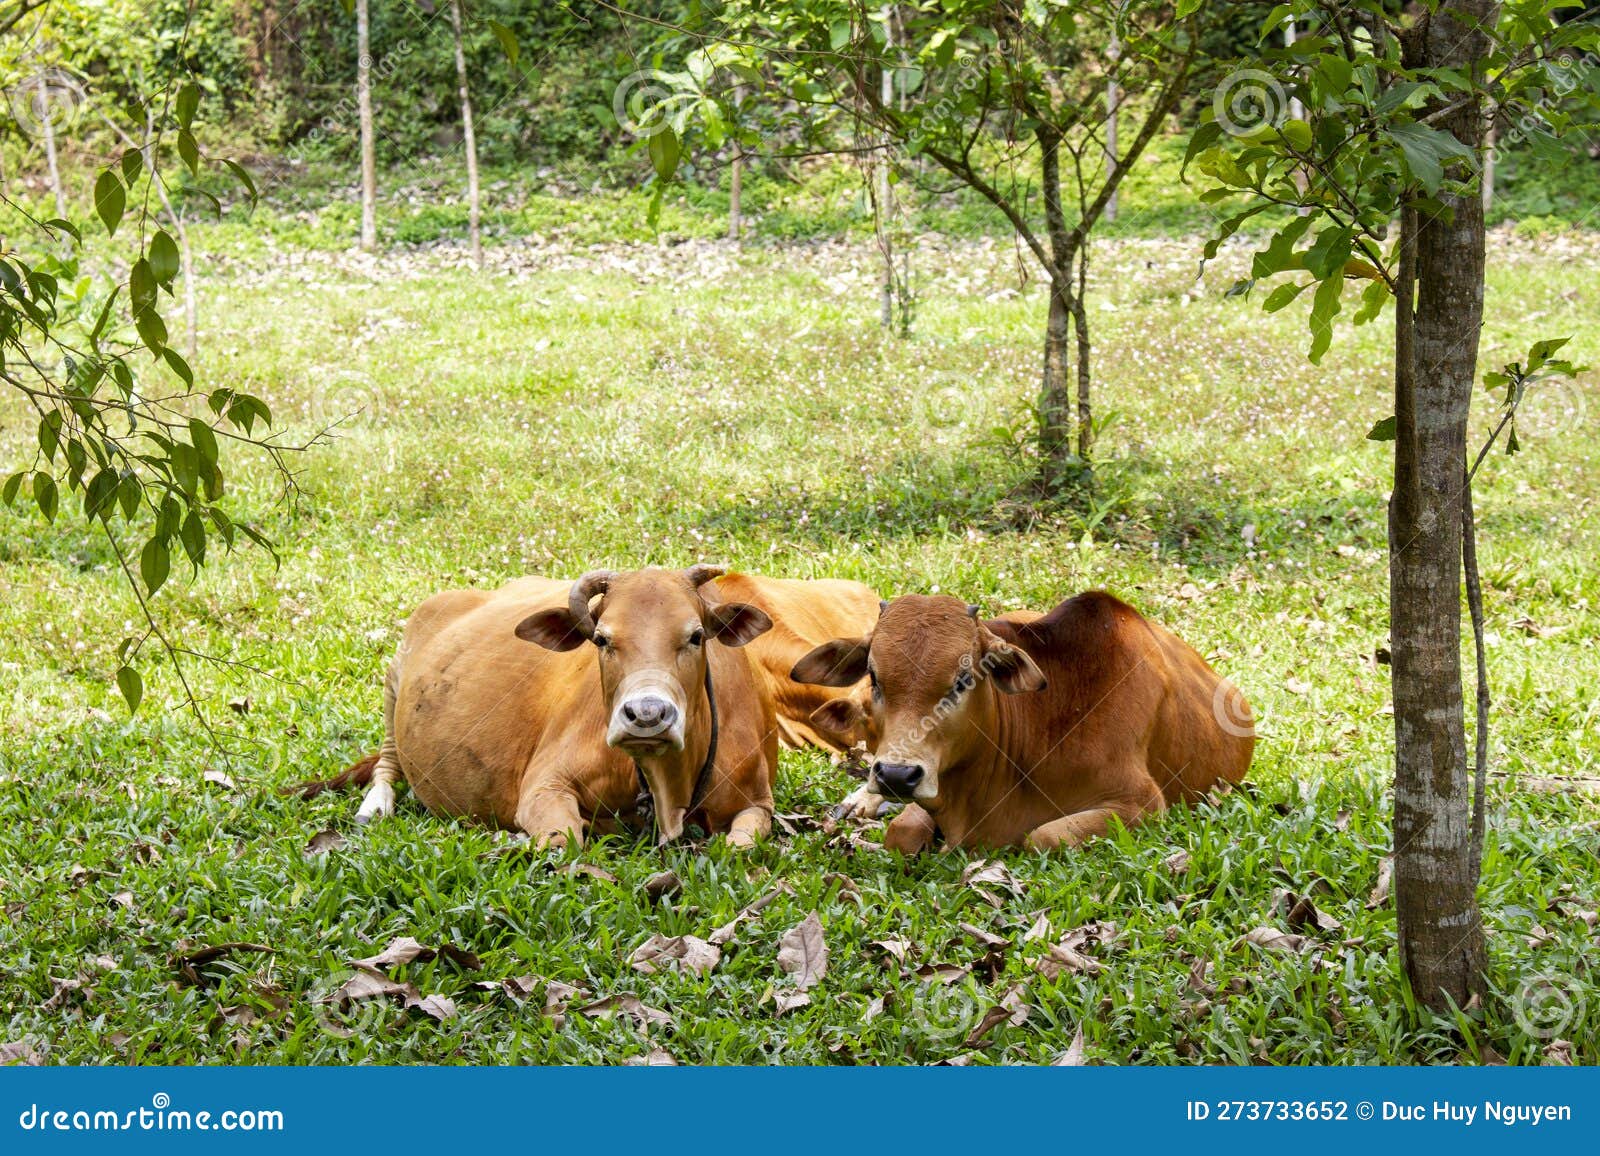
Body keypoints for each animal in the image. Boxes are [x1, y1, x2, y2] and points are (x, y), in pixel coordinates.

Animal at [296, 566, 780, 849]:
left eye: (696, 635)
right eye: (601, 638)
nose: (646, 715)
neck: (665, 786)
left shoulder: (758, 803)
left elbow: (741, 844)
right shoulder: (543, 788)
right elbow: (563, 842)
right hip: (394, 679)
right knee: (388, 759)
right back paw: (376, 805)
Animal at [790, 591, 1254, 853]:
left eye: (963, 680)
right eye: (873, 676)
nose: (897, 775)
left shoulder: (1142, 803)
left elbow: (1041, 838)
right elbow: (899, 834)